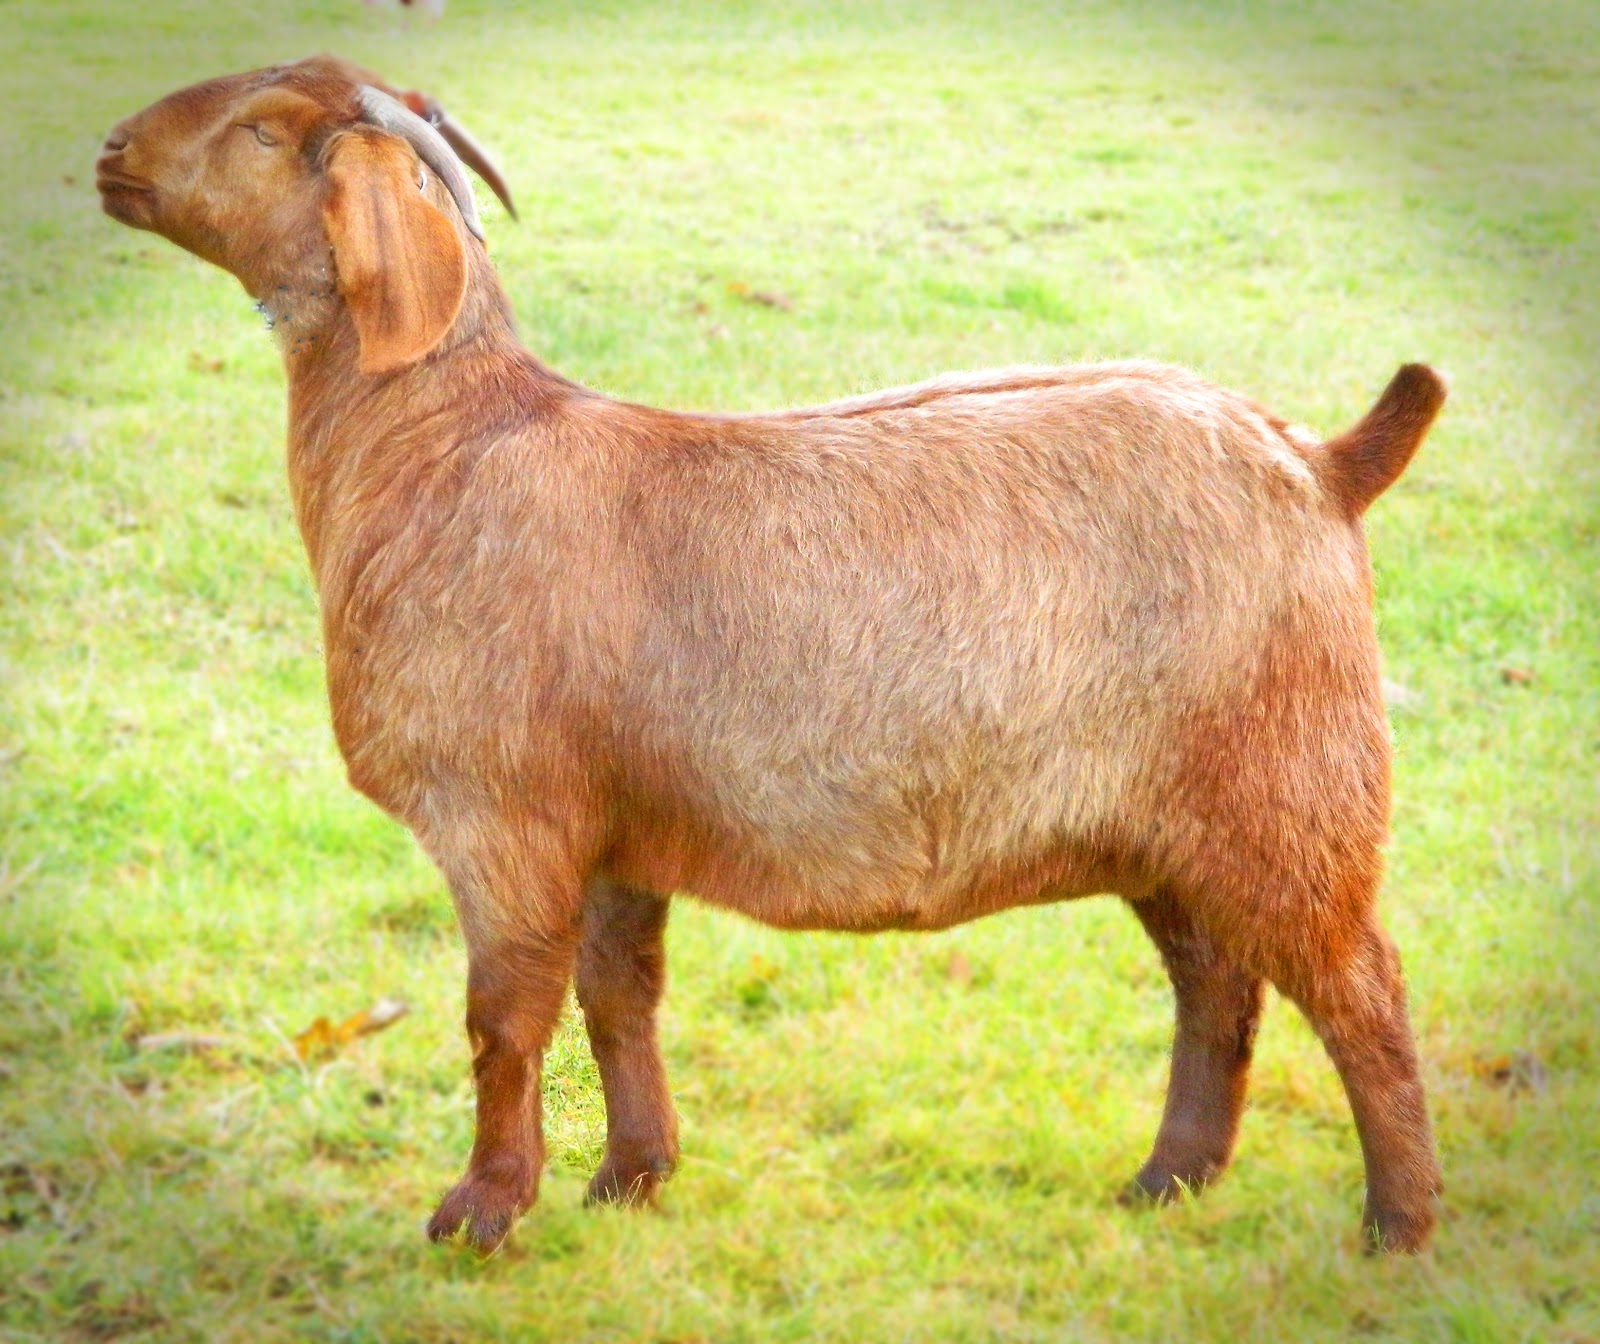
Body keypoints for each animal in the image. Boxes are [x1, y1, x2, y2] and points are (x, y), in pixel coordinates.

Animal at [97, 56, 1446, 1255]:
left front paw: (479, 1213)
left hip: (1286, 794)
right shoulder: (616, 832)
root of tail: (1322, 460)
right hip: (1165, 830)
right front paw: (629, 1178)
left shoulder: (503, 817)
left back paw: (1398, 1225)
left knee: (1361, 988)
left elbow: (504, 1019)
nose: (112, 151)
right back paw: (1167, 1182)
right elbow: (616, 996)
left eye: (265, 128)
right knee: (1219, 989)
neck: (446, 445)